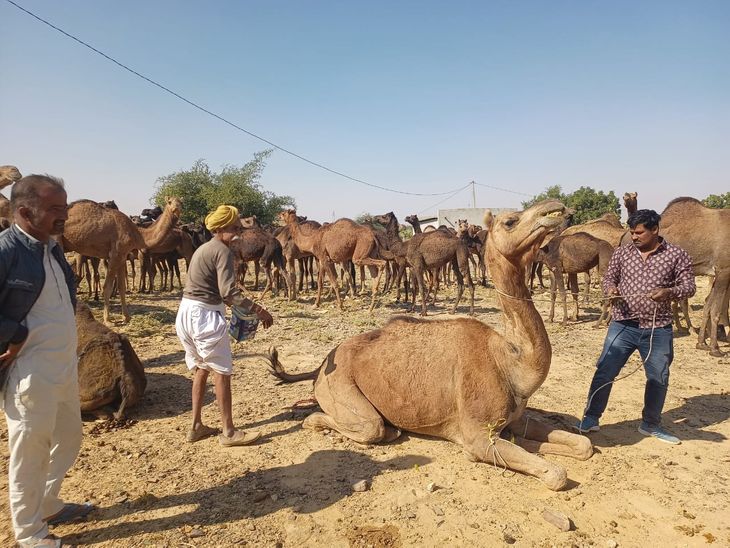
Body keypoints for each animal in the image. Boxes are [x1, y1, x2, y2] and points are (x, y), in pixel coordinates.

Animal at [267, 200, 592, 490]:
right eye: (510, 221)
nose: (557, 209)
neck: (511, 365)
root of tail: (322, 364)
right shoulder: (477, 437)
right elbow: (556, 474)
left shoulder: (513, 418)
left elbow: (583, 444)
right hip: (340, 389)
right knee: (368, 425)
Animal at [659, 197, 730, 356]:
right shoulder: (724, 270)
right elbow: (716, 309)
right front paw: (715, 348)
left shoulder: (716, 273)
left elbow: (708, 305)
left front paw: (702, 343)